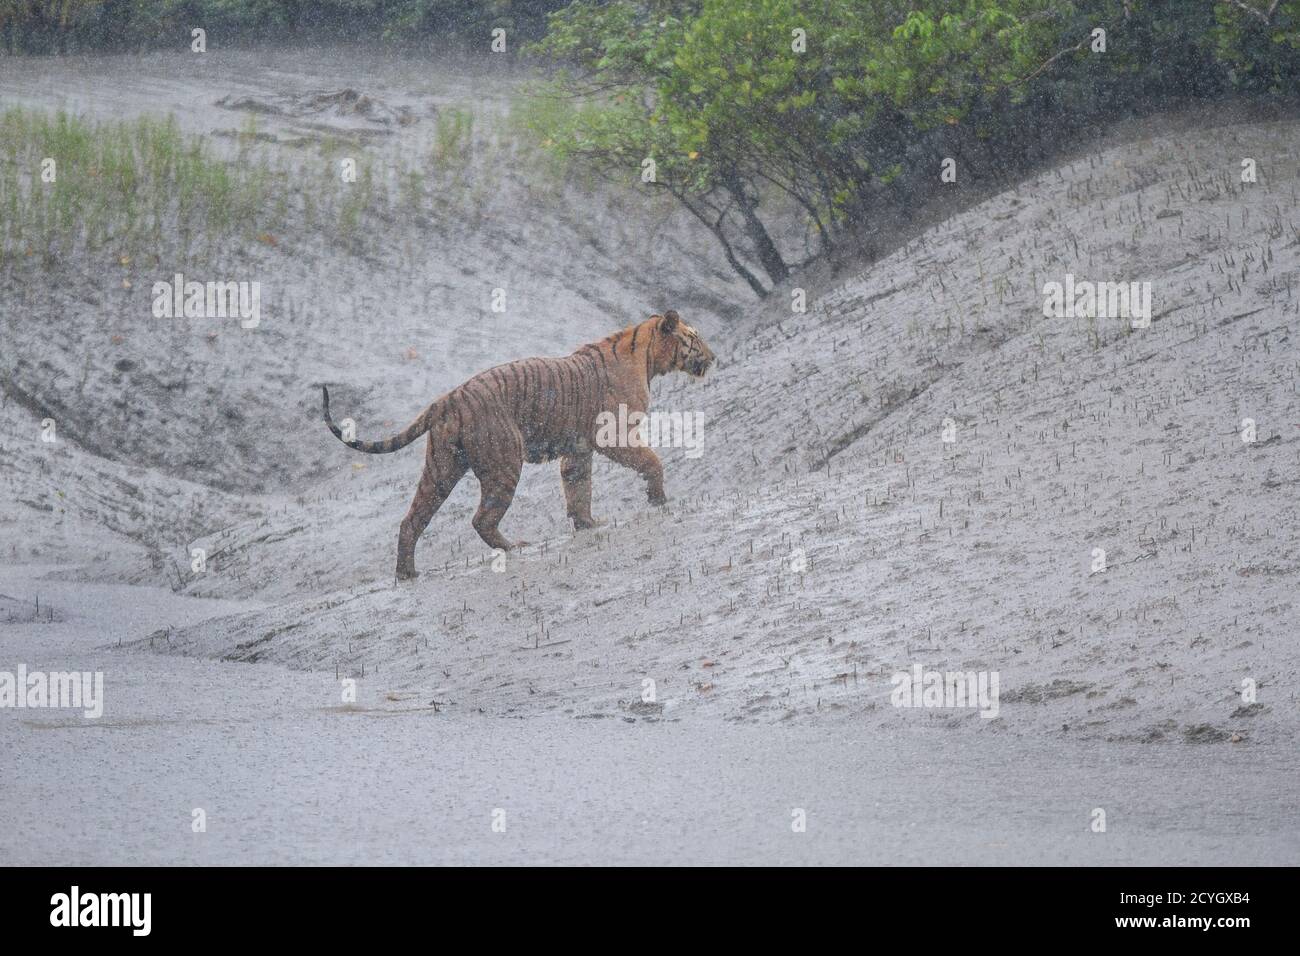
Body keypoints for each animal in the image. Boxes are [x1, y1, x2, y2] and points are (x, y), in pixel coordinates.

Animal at [322, 310, 716, 580]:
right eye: (695, 338)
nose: (713, 358)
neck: (648, 359)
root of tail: (448, 397)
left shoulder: (578, 449)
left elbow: (578, 488)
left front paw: (588, 523)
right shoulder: (614, 435)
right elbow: (651, 462)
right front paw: (658, 500)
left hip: (441, 467)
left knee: (412, 519)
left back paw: (407, 573)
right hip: (504, 463)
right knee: (481, 518)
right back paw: (513, 547)